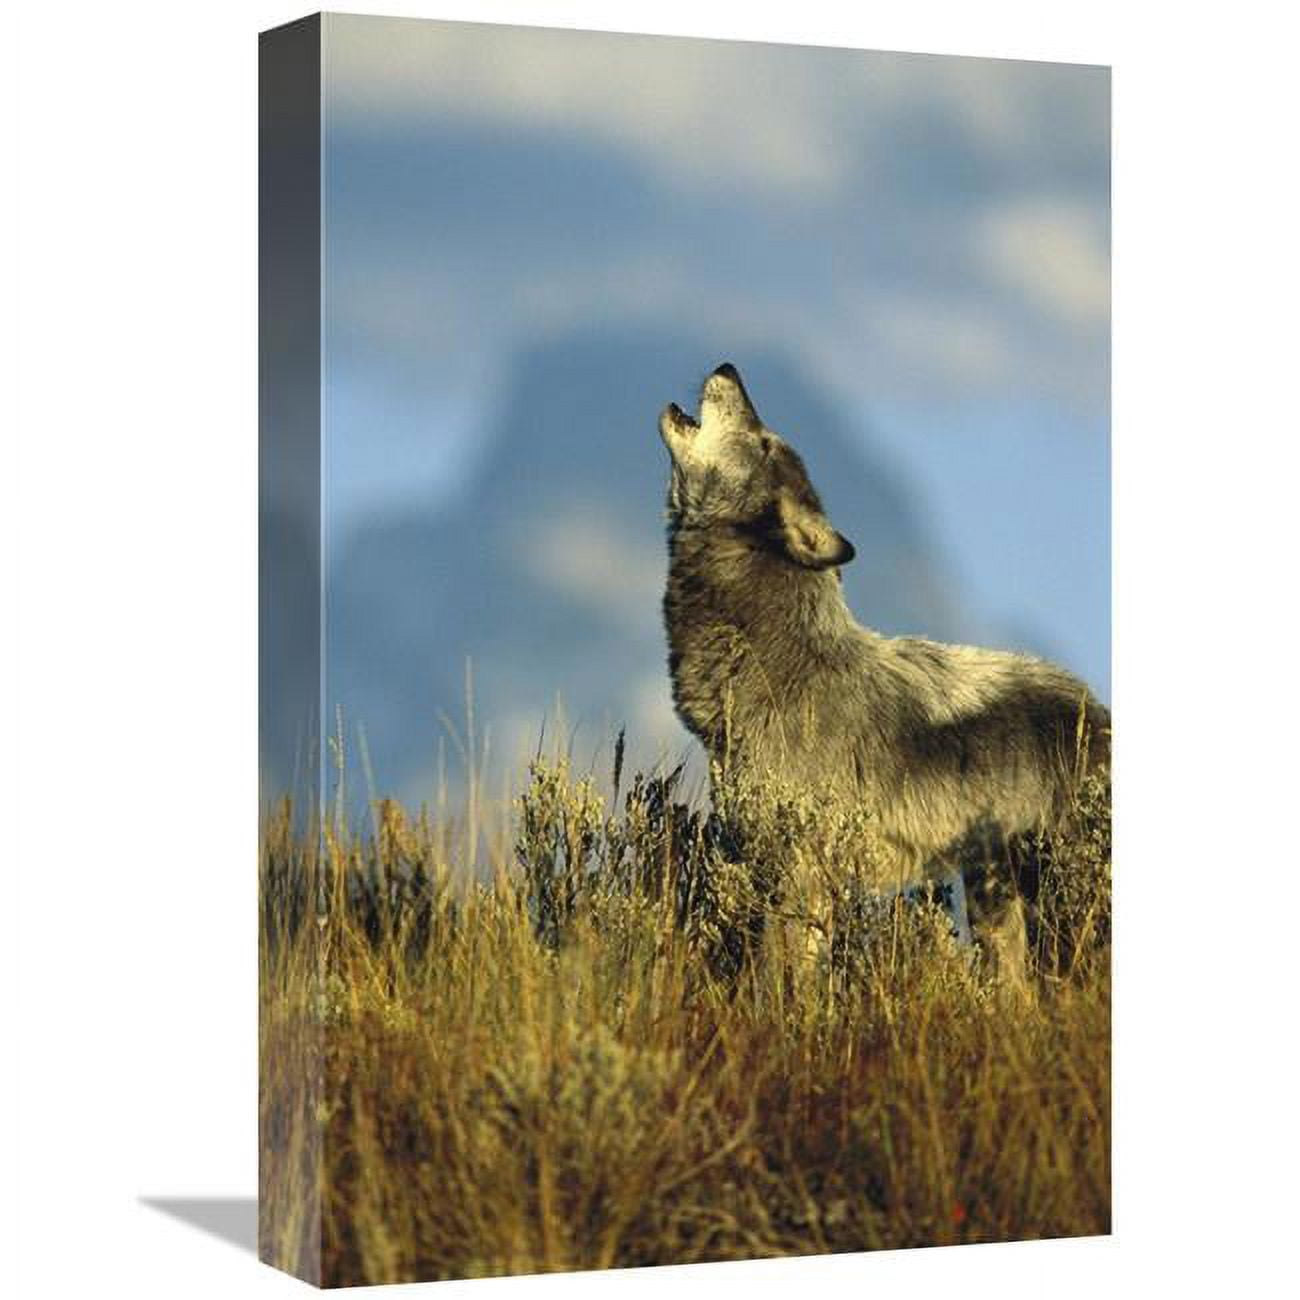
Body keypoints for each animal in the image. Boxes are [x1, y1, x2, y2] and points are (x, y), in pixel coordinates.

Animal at [659, 362, 1110, 981]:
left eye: (765, 440)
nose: (729, 367)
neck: (780, 665)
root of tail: (1097, 708)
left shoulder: (800, 871)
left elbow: (779, 977)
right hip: (996, 897)